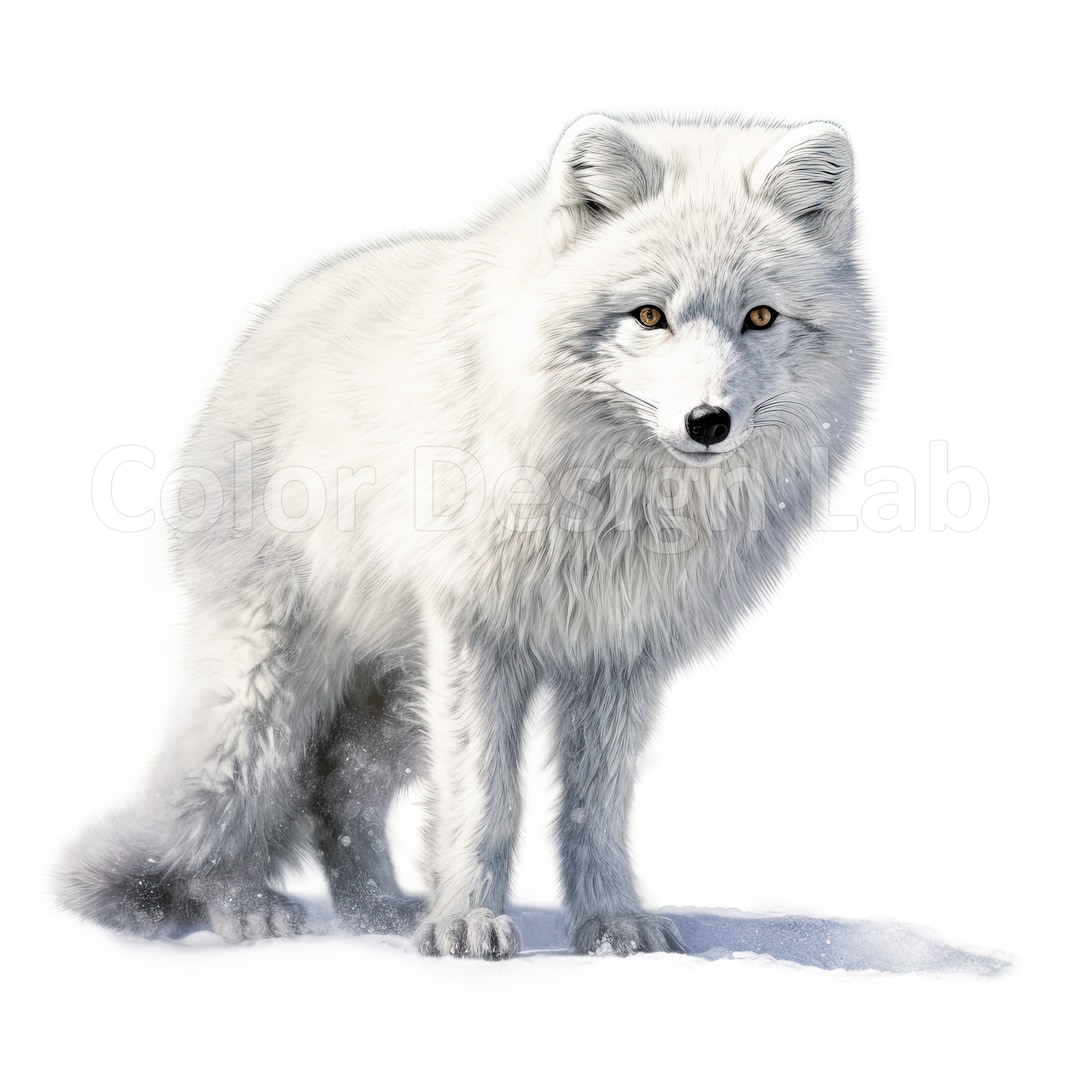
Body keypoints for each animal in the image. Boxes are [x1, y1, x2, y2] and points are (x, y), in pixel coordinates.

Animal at [59, 113, 874, 958]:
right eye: (650, 315)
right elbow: (486, 797)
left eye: (761, 317)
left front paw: (612, 925)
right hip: (275, 687)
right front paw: (466, 925)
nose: (707, 421)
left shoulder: (620, 655)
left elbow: (595, 809)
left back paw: (379, 913)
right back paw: (248, 909)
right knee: (234, 803)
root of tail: (269, 326)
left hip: (398, 705)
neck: (615, 509)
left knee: (335, 790)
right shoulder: (479, 634)